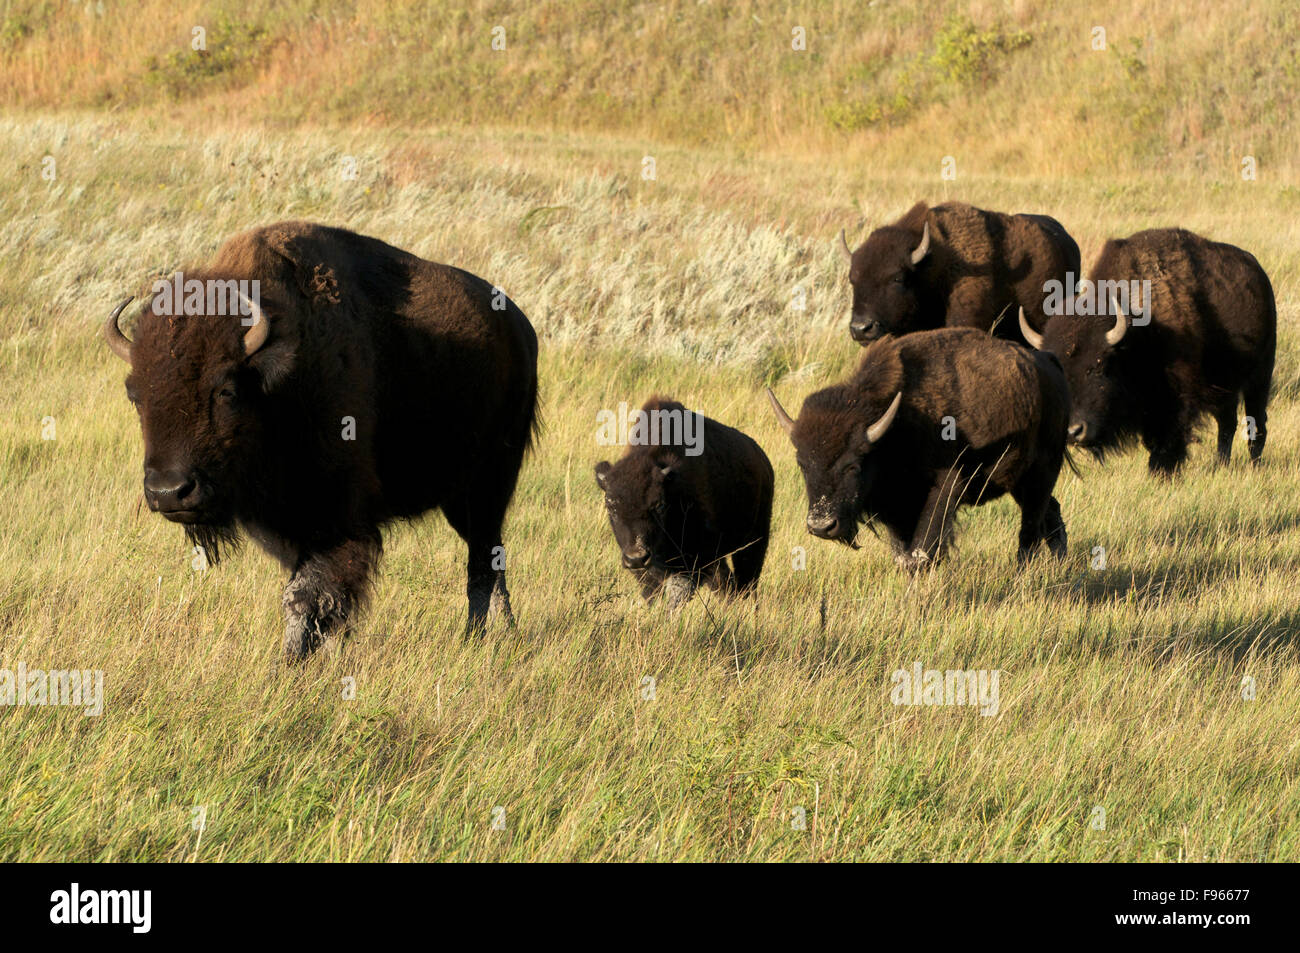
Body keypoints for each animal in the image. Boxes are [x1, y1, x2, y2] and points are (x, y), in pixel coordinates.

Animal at [103, 221, 539, 660]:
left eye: (226, 390)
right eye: (134, 395)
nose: (169, 492)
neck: (281, 381)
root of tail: (522, 329)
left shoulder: (337, 518)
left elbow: (307, 595)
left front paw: (292, 662)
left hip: (488, 484)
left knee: (482, 559)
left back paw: (475, 637)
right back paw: (504, 632)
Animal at [768, 328, 1070, 568]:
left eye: (853, 464)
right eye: (802, 464)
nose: (821, 526)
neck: (896, 423)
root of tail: (1048, 364)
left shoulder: (945, 487)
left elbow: (921, 551)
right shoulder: (899, 508)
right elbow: (904, 553)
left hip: (1041, 475)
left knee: (1030, 532)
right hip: (1020, 483)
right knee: (1050, 515)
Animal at [1018, 227, 1276, 476]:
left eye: (1099, 366)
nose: (1073, 431)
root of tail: (1259, 274)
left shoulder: (1174, 399)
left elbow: (1168, 437)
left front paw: (1161, 471)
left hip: (1260, 377)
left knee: (1255, 424)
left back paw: (1254, 466)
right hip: (1225, 385)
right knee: (1227, 423)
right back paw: (1221, 464)